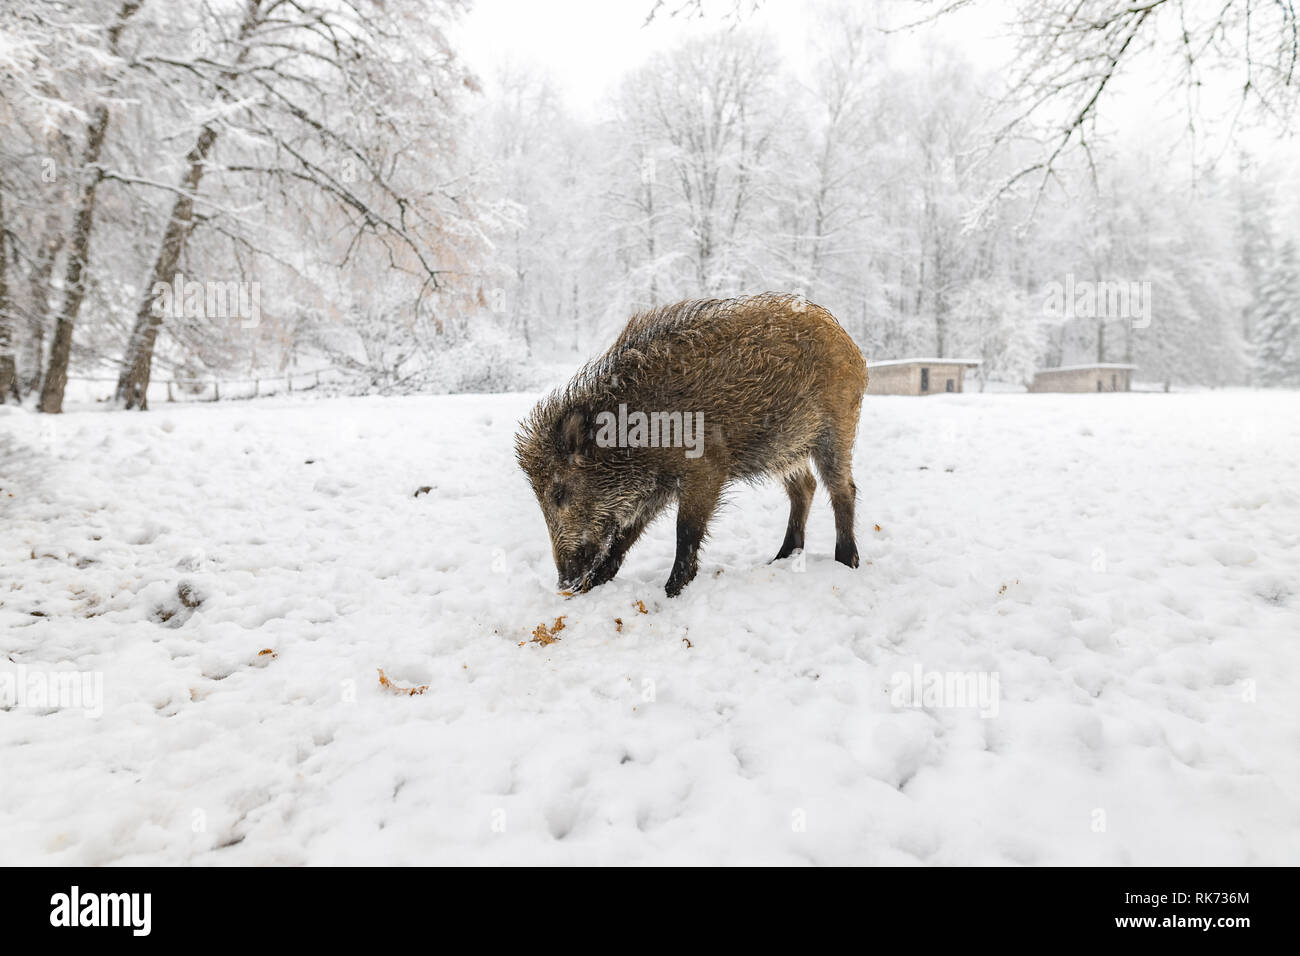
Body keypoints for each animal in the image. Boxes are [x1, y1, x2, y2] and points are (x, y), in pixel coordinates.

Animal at [515, 293, 868, 597]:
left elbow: (685, 529)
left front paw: (672, 591)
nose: (565, 583)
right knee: (804, 487)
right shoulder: (653, 488)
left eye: (559, 493)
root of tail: (851, 345)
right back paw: (781, 558)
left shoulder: (705, 469)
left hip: (835, 431)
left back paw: (846, 562)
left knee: (842, 489)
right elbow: (627, 532)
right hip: (785, 451)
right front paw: (596, 583)